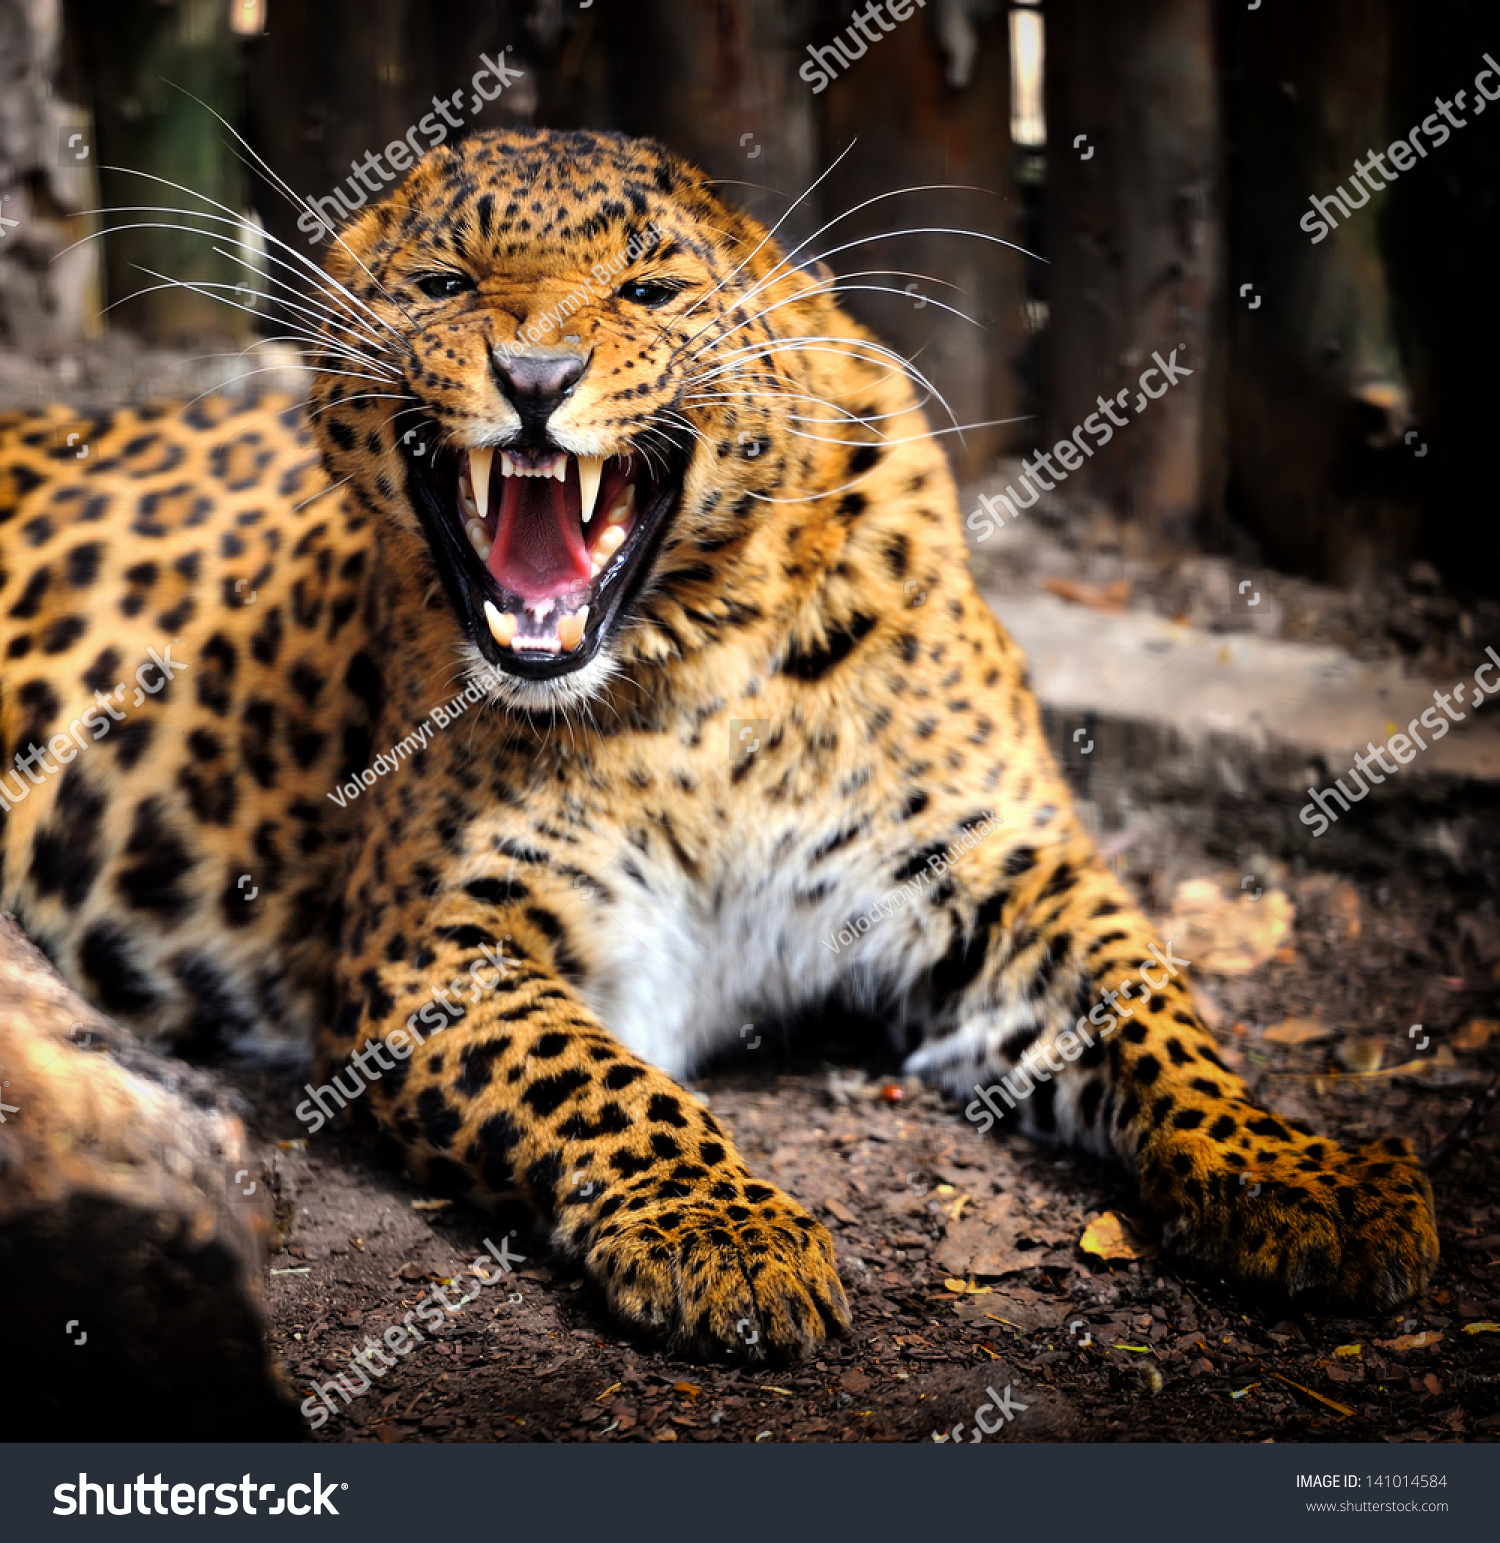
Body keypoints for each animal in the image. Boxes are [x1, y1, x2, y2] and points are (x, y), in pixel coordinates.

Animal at [0, 126, 1438, 1371]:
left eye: (647, 287)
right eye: (445, 283)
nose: (533, 379)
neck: (684, 685)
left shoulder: (1003, 876)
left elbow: (1159, 1014)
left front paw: (1292, 1169)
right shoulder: (430, 947)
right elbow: (598, 1078)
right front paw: (726, 1233)